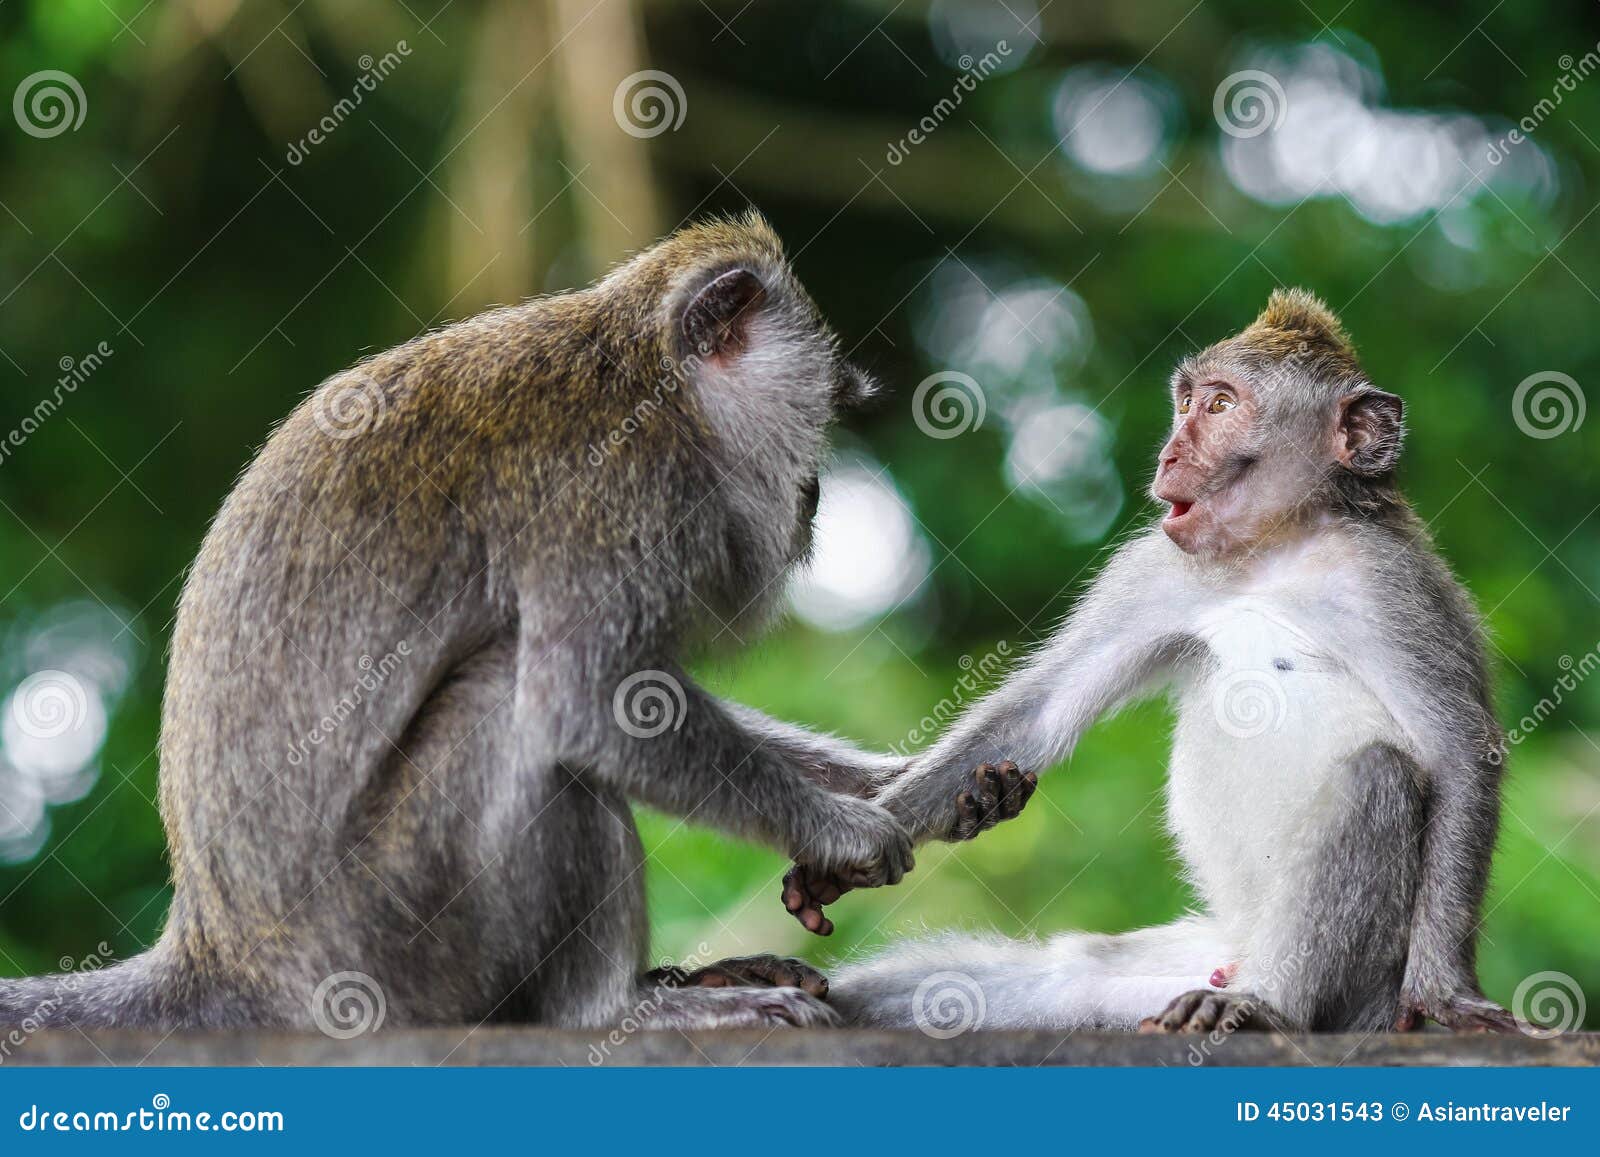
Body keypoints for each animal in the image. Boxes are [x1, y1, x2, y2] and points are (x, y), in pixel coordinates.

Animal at [0, 212, 942, 1033]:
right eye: (827, 407)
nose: (817, 494)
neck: (651, 384)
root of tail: (218, 952)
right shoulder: (614, 492)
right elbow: (588, 703)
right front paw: (842, 825)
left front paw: (887, 778)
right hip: (387, 947)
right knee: (506, 703)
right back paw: (612, 1010)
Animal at [814, 290, 1512, 1035]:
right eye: (1185, 403)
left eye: (1222, 405)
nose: (1170, 453)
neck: (1271, 552)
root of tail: (1240, 956)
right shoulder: (1154, 567)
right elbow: (1042, 709)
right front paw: (846, 852)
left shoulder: (1390, 582)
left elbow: (1461, 752)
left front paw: (1444, 991)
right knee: (1071, 974)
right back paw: (808, 989)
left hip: (1361, 994)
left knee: (1374, 774)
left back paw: (1264, 1006)